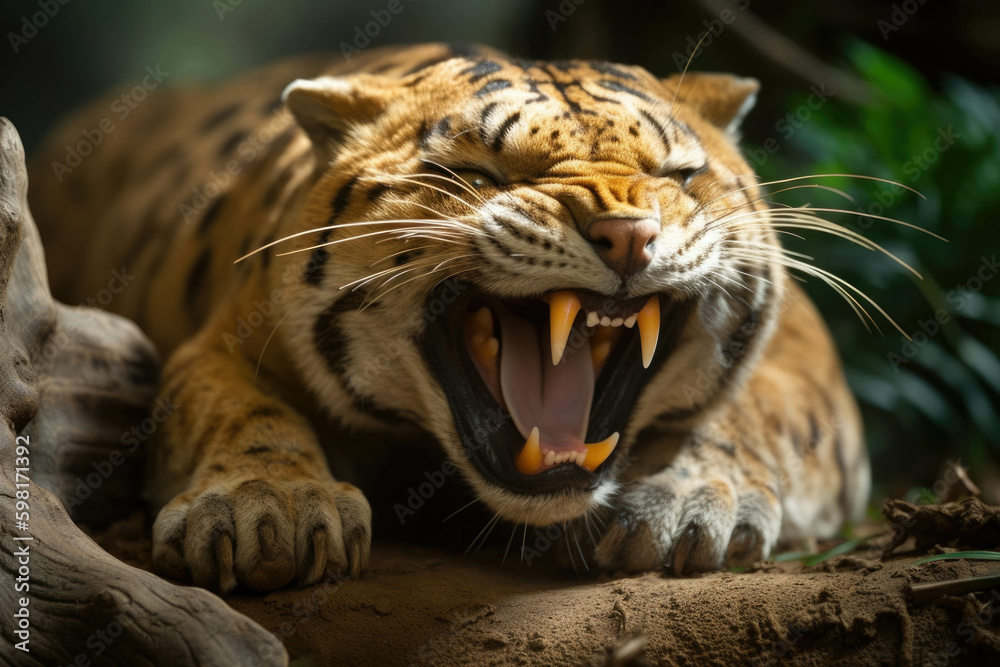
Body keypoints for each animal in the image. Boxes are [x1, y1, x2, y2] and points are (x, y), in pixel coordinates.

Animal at [28, 43, 869, 592]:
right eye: (477, 174)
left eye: (679, 175)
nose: (629, 234)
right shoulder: (219, 344)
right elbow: (236, 408)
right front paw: (267, 509)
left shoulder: (806, 354)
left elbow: (754, 410)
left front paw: (691, 501)